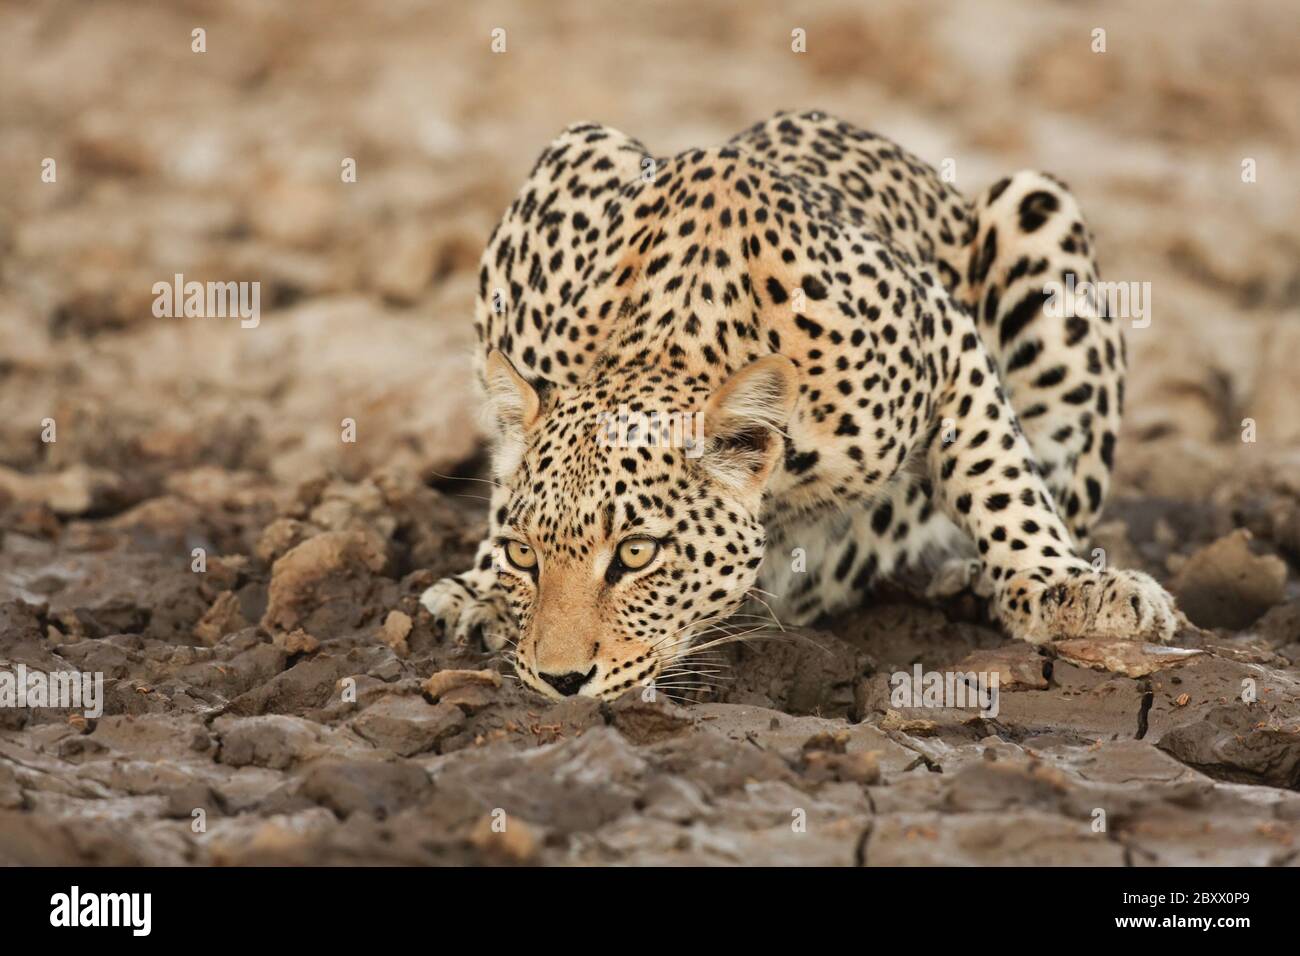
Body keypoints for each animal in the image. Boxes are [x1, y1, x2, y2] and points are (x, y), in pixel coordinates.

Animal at [420, 110, 1181, 702]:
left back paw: (979, 576)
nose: (561, 680)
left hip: (1037, 210)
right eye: (525, 553)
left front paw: (1061, 583)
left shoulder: (940, 331)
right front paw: (484, 592)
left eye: (636, 554)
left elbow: (997, 472)